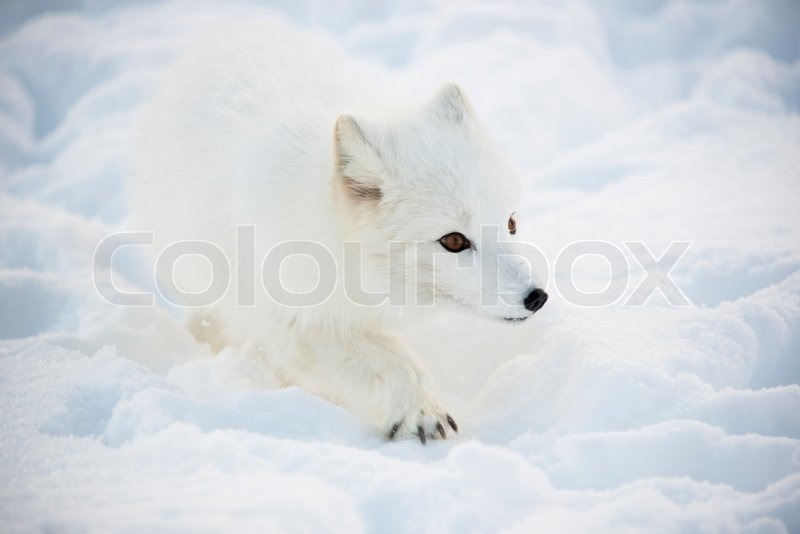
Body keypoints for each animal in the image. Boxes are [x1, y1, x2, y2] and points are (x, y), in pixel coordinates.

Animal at [134, 22, 548, 443]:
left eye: (511, 223)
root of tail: (234, 29)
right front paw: (420, 411)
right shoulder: (294, 320)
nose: (537, 297)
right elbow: (388, 361)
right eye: (454, 241)